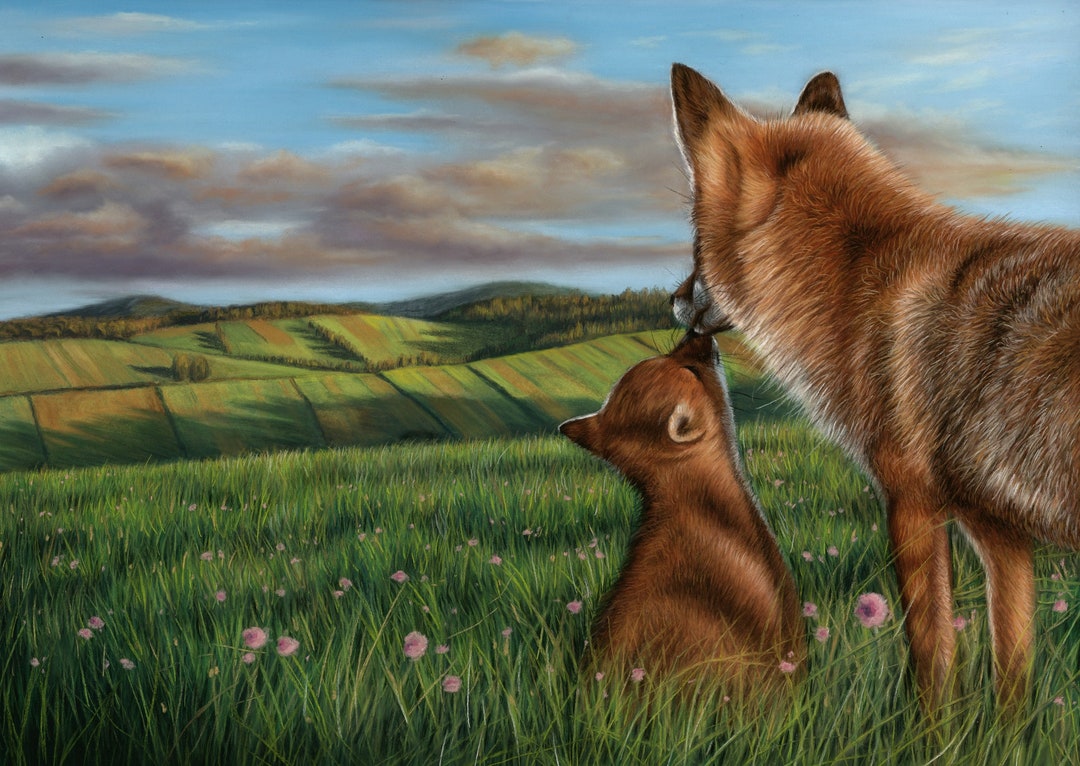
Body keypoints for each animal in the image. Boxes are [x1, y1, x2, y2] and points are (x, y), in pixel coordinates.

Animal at [668, 63, 1080, 713]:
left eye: (694, 240)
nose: (674, 299)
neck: (865, 289)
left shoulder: (911, 506)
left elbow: (933, 667)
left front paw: (930, 729)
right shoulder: (998, 529)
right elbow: (1013, 674)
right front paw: (1006, 729)